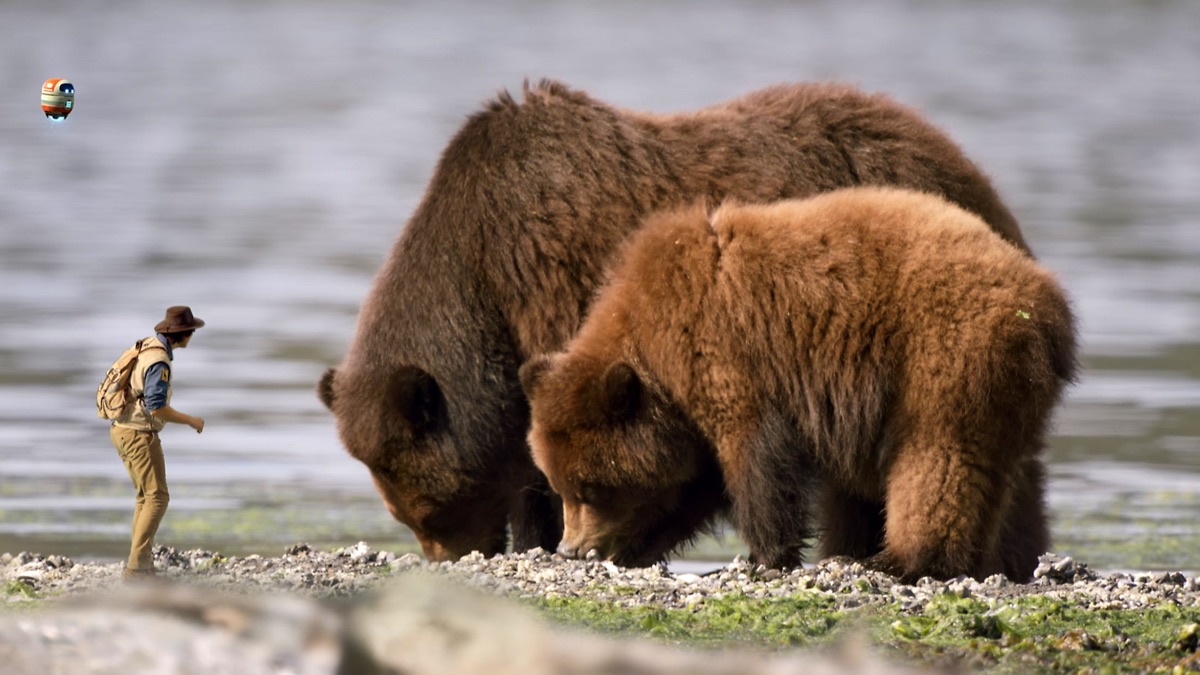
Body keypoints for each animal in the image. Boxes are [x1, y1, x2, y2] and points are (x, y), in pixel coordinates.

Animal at [520, 187, 1077, 582]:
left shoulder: (724, 353)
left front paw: (765, 556)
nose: (570, 548)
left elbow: (755, 458)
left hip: (947, 351)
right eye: (557, 484)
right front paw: (638, 546)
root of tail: (1049, 301)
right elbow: (693, 484)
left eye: (590, 486)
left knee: (937, 460)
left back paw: (896, 560)